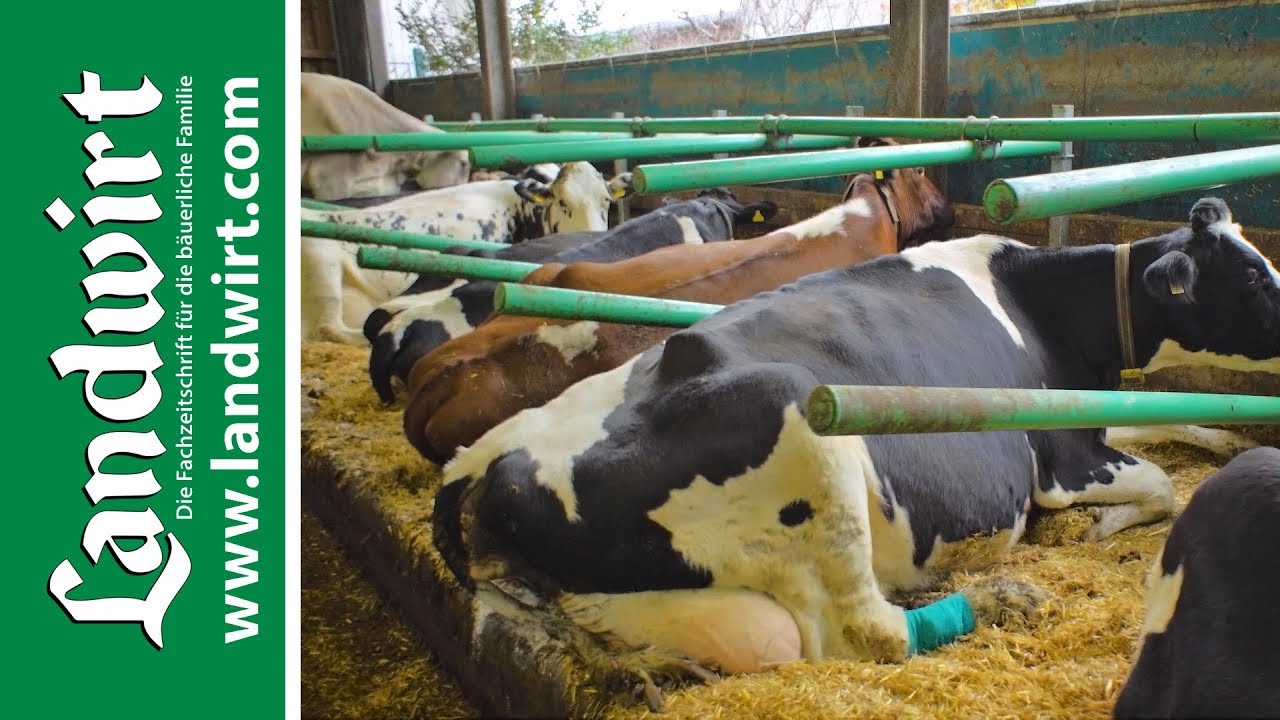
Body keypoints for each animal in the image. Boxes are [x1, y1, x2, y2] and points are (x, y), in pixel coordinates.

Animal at [431, 197, 1280, 681]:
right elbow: (1161, 483)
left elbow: (1175, 419)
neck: (1043, 308)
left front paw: (1213, 438)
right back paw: (1000, 598)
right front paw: (1105, 524)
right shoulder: (1061, 462)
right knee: (867, 631)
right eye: (1248, 277)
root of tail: (484, 467)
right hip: (802, 421)